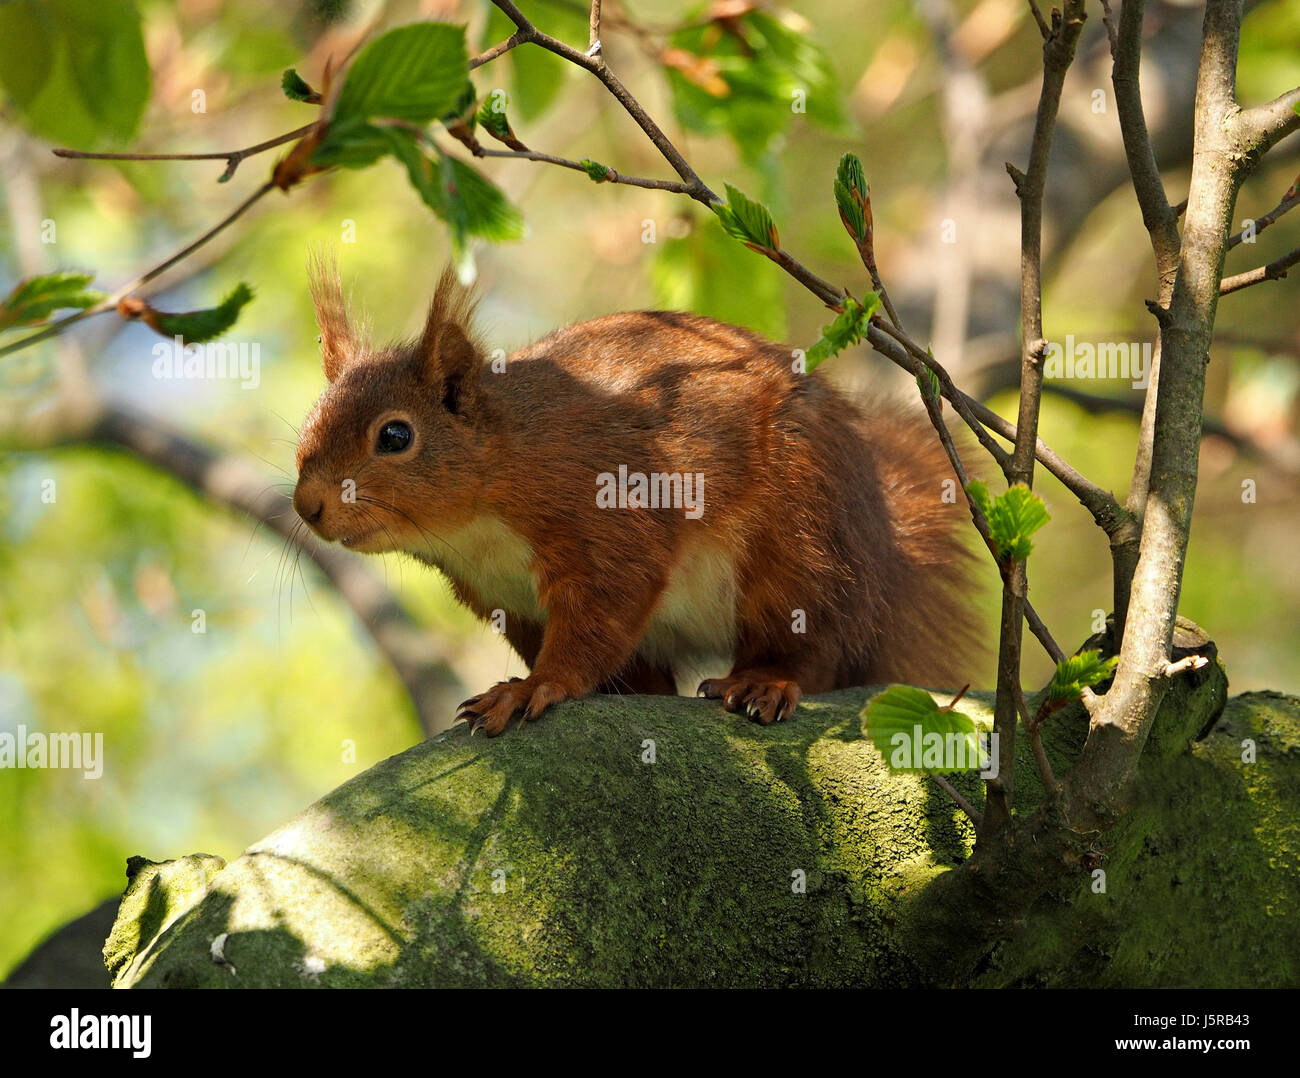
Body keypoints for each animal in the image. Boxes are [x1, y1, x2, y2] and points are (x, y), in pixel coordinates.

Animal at [293, 256, 979, 736]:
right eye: (308, 423)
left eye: (395, 435)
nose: (307, 506)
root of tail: (882, 555)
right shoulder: (508, 600)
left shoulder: (607, 519)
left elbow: (599, 617)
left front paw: (534, 688)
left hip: (800, 541)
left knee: (816, 645)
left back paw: (766, 681)